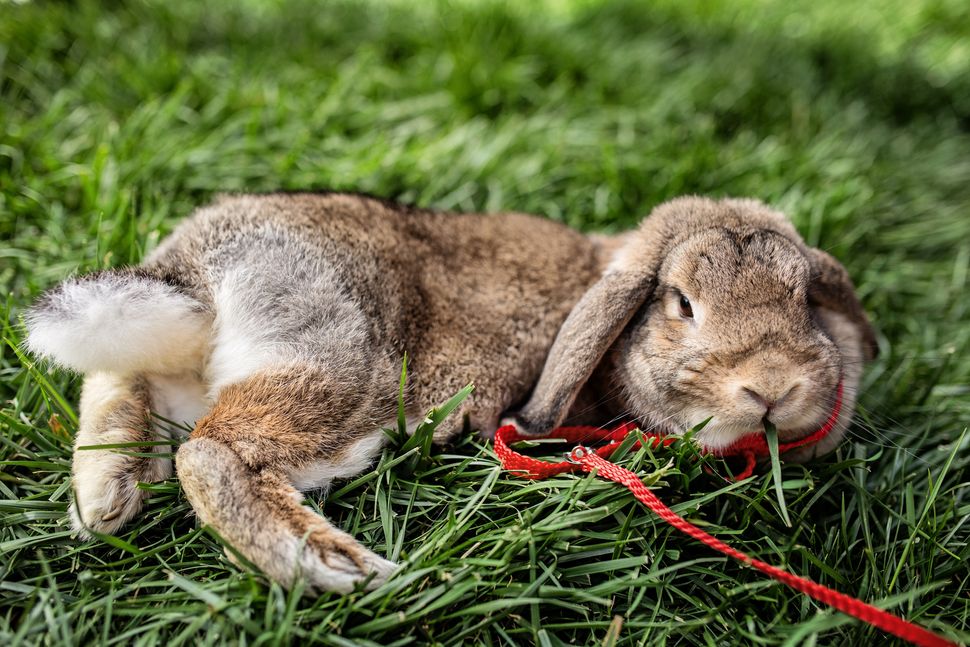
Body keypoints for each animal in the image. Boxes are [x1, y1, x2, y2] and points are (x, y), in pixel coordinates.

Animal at [24, 192, 877, 595]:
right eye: (681, 304)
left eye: (803, 300)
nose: (771, 387)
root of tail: (198, 271)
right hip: (344, 379)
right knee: (214, 450)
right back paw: (332, 564)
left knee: (118, 379)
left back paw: (105, 492)